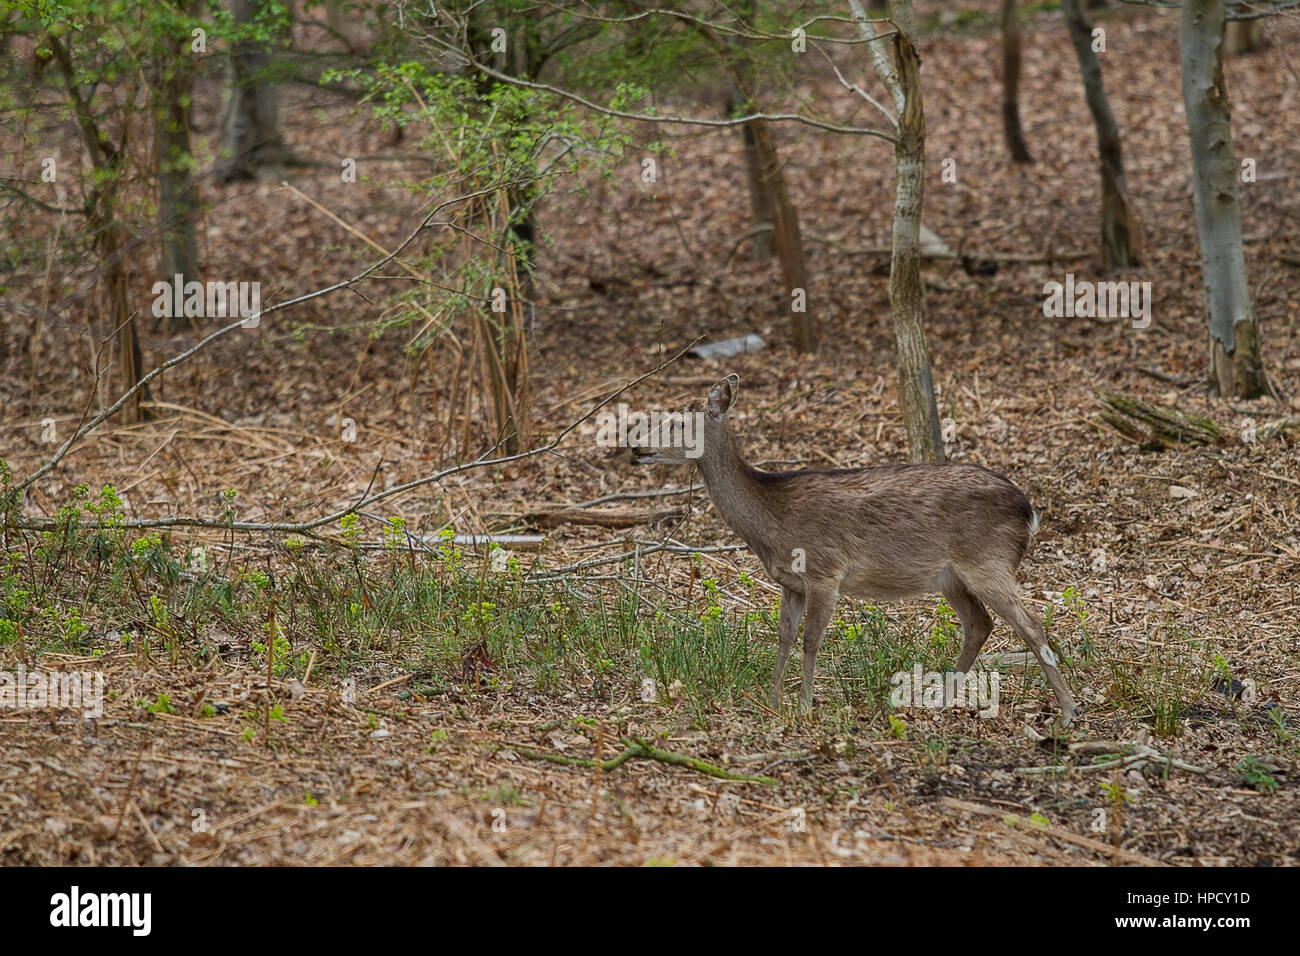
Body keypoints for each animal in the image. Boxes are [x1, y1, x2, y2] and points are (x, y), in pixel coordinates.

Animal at [630, 373, 1078, 725]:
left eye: (677, 422)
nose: (636, 448)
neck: (771, 521)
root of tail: (1028, 510)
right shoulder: (790, 582)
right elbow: (784, 637)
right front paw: (773, 702)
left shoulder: (825, 571)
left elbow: (811, 641)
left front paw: (804, 707)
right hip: (951, 575)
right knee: (980, 623)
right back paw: (942, 702)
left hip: (989, 560)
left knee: (1031, 625)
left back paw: (1068, 712)